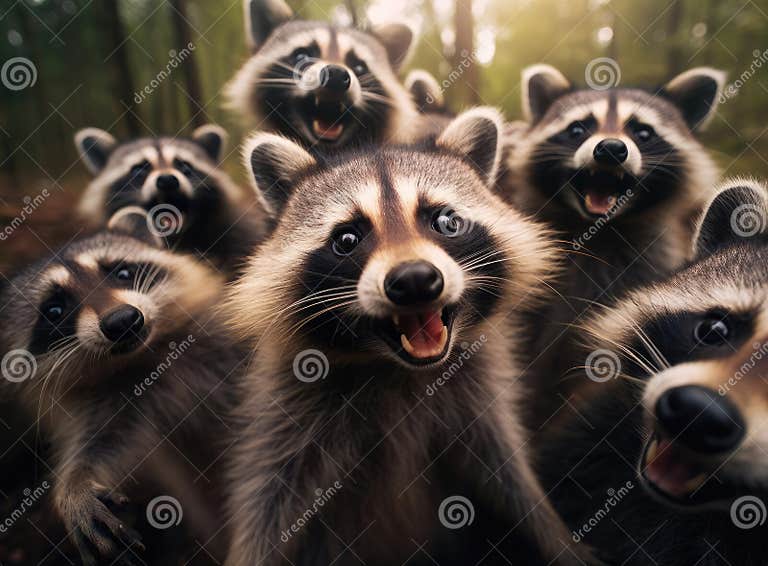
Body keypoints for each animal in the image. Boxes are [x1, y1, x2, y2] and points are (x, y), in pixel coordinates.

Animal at [0, 211, 247, 564]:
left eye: (123, 272)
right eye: (55, 310)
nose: (122, 321)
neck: (146, 356)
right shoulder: (112, 396)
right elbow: (101, 443)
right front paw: (75, 485)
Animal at [223, 109, 592, 566]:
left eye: (445, 221)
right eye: (347, 238)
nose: (415, 280)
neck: (397, 369)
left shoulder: (479, 400)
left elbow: (509, 480)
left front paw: (558, 541)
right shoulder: (288, 421)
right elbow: (267, 508)